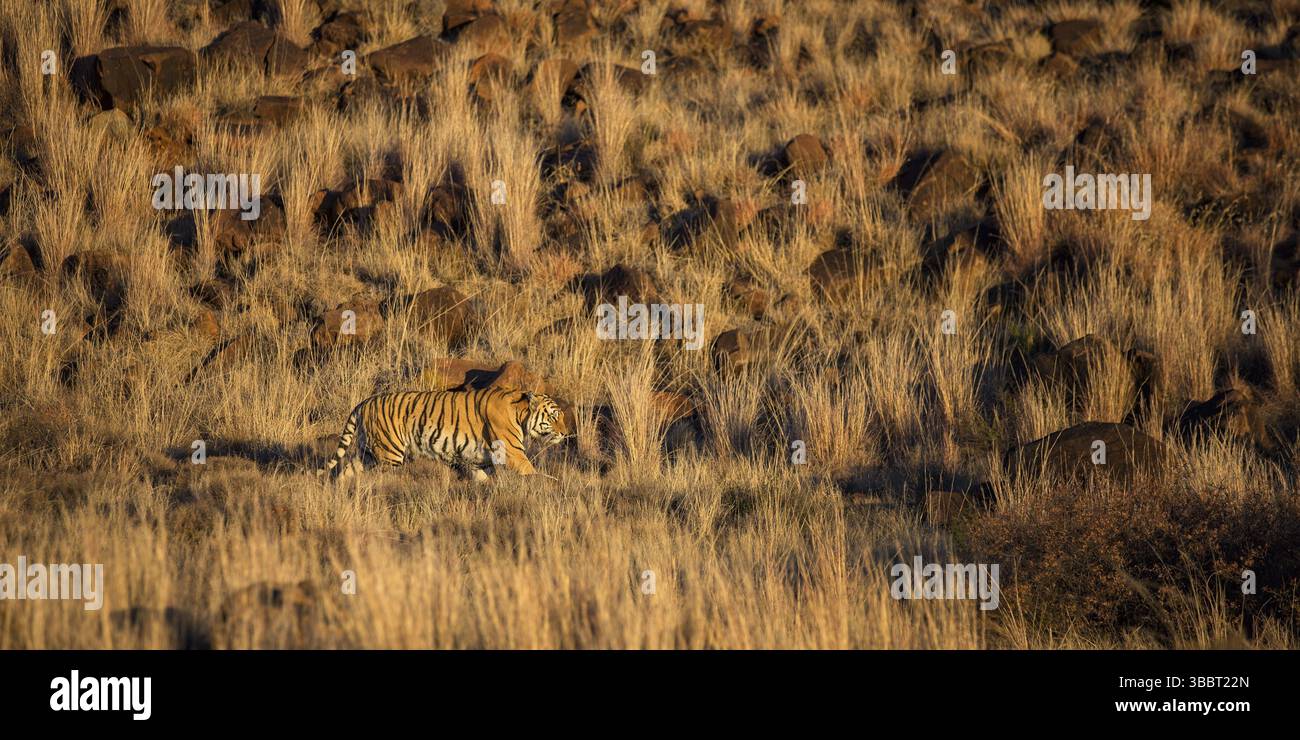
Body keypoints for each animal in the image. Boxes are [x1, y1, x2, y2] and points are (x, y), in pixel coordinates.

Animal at [321, 387, 571, 481]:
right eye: (554, 417)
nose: (565, 433)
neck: (520, 413)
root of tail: (364, 402)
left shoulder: (473, 458)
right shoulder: (513, 454)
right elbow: (535, 474)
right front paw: (552, 485)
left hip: (368, 451)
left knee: (349, 468)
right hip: (389, 453)